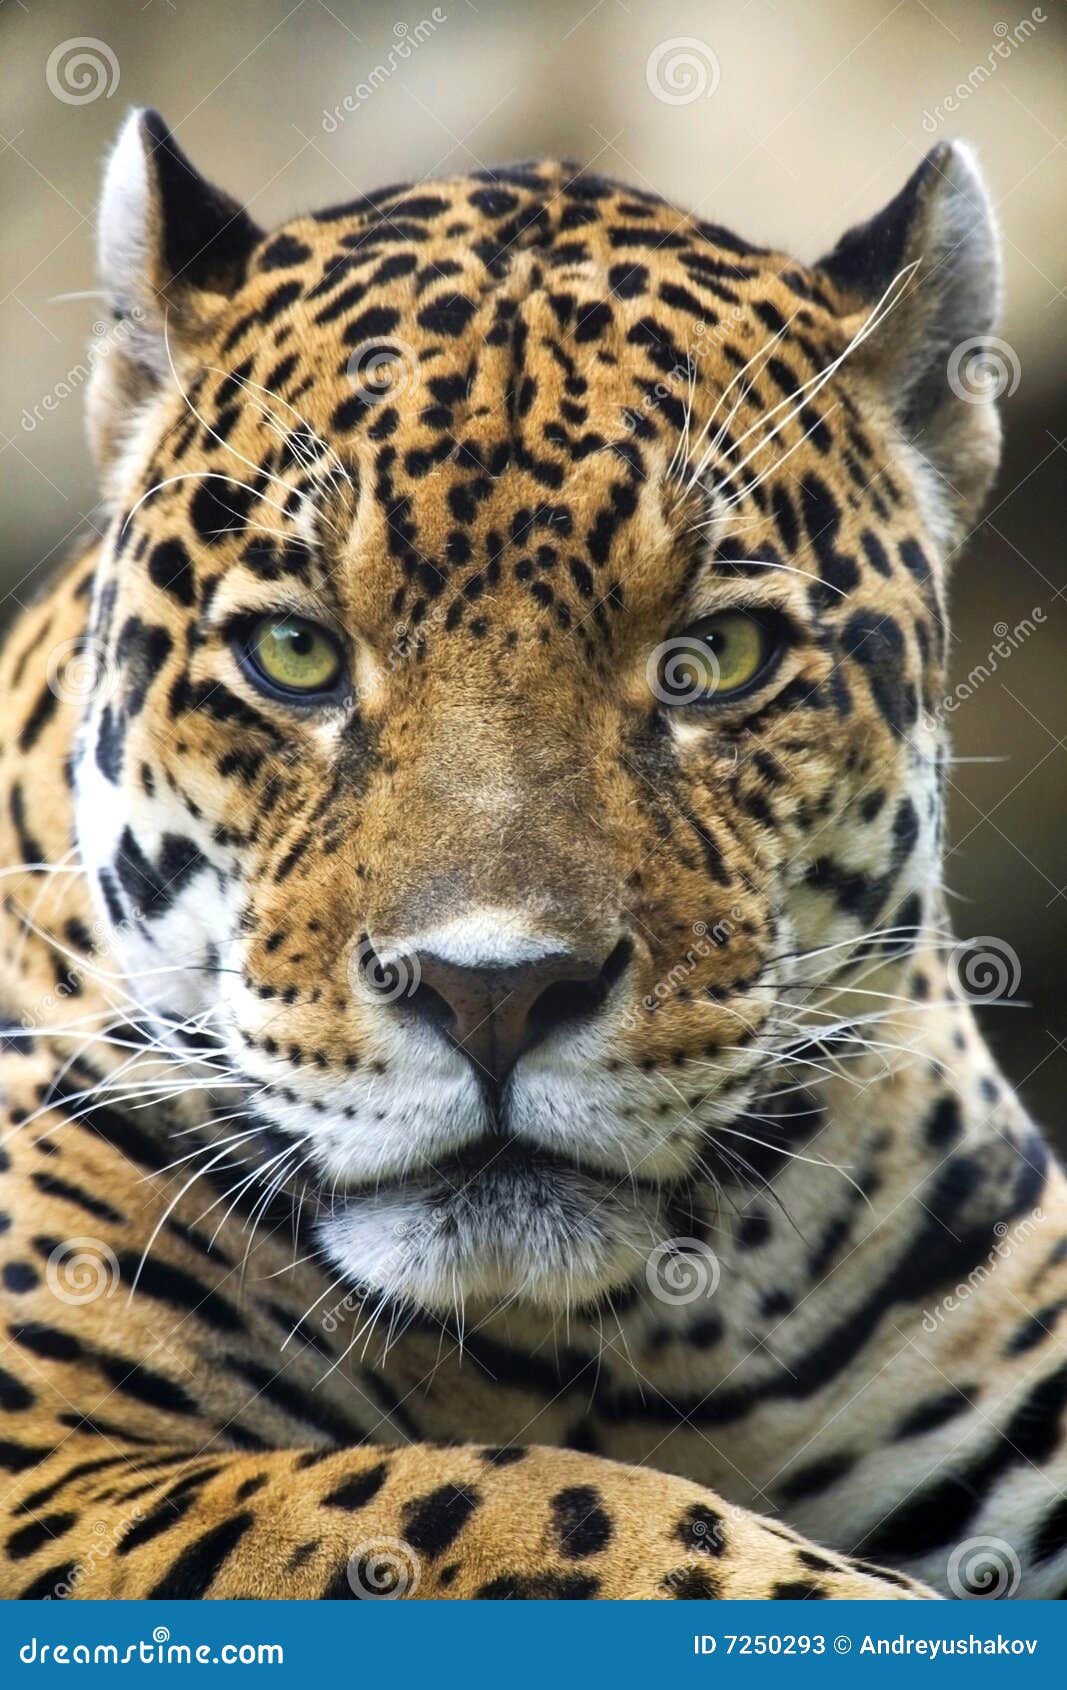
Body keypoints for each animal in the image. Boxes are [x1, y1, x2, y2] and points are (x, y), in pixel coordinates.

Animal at [0, 106, 1064, 1603]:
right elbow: (535, 1502)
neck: (628, 1336)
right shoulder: (53, 1467)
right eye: (295, 654)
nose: (491, 993)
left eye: (713, 658)